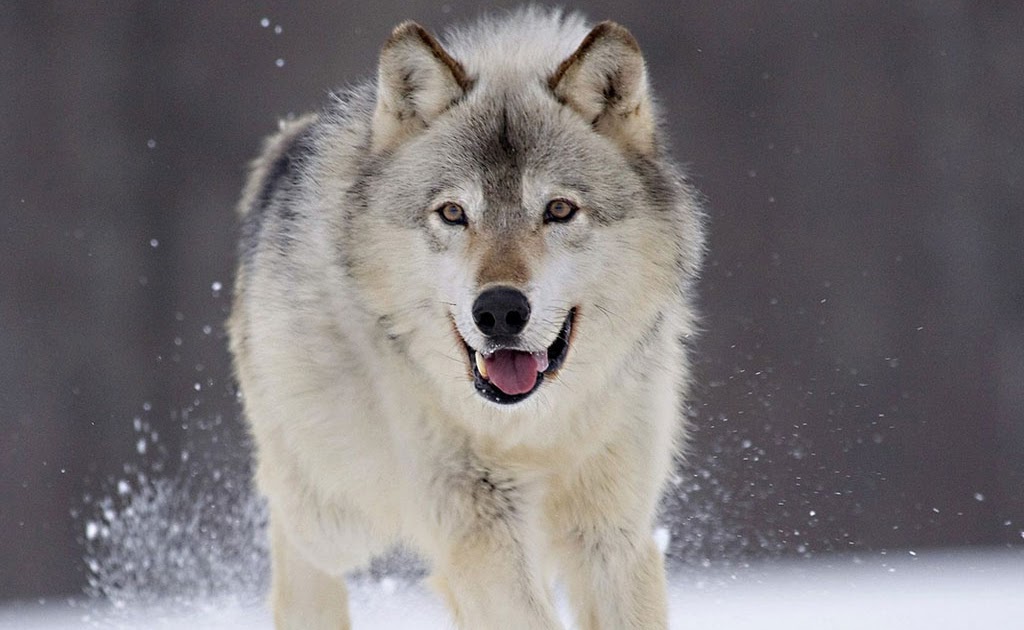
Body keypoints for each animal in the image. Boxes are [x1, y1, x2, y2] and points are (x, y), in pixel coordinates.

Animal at [228, 7, 704, 629]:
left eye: (558, 209)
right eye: (453, 213)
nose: (499, 311)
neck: (532, 431)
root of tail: (284, 146)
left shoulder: (613, 534)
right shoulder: (479, 525)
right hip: (338, 511)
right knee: (292, 530)